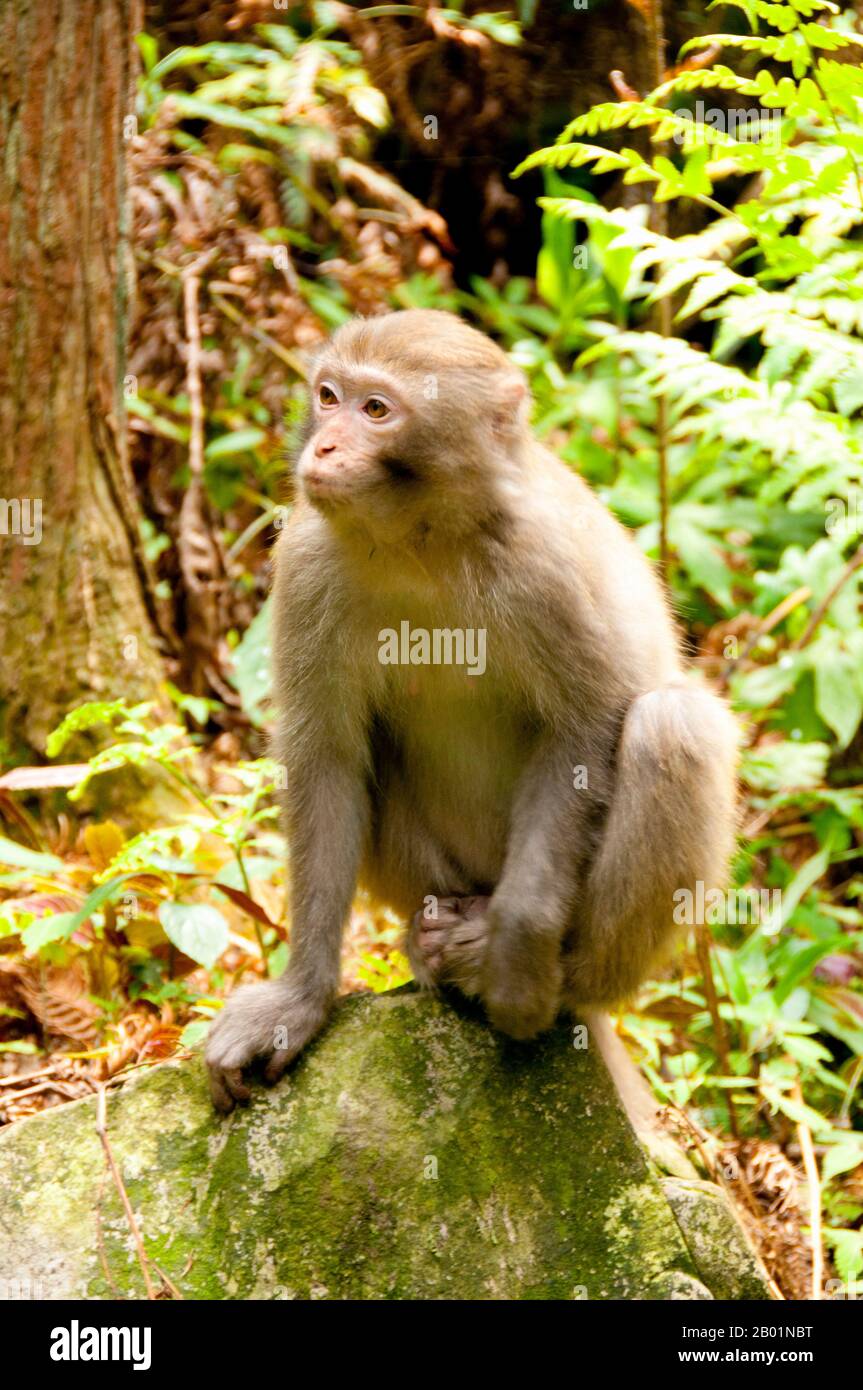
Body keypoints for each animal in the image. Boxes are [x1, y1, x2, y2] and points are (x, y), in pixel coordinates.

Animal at [206, 308, 738, 1112]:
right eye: (327, 396)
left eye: (376, 410)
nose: (324, 446)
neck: (419, 540)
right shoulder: (304, 560)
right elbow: (327, 759)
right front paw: (301, 999)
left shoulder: (543, 565)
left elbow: (586, 727)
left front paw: (513, 961)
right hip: (443, 873)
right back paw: (433, 948)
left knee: (672, 726)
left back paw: (521, 966)